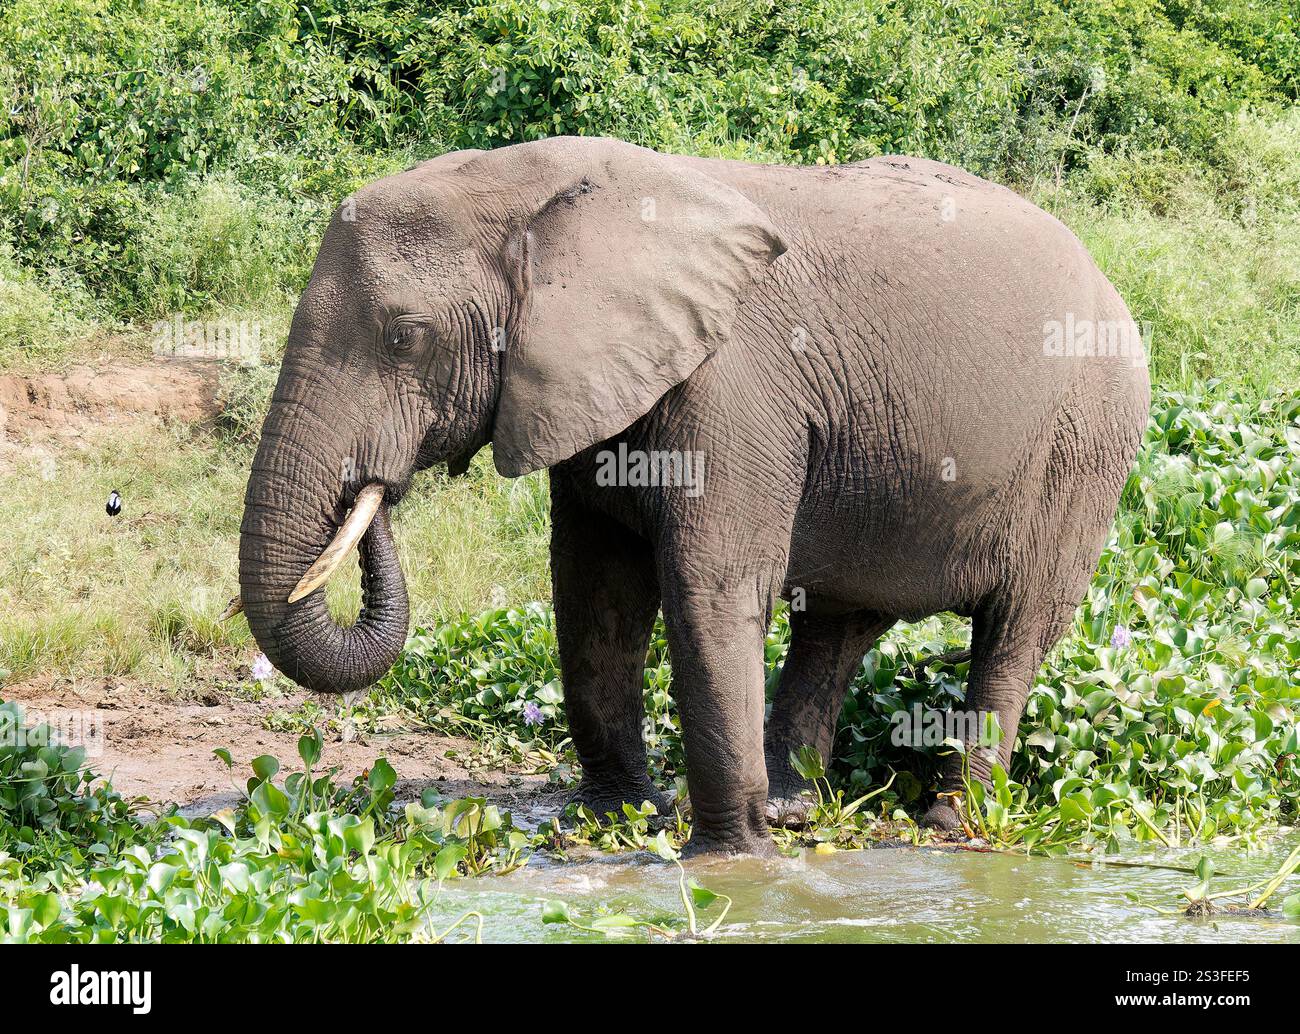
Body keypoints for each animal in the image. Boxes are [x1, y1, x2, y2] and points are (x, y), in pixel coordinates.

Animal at [236, 136, 1150, 856]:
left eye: (403, 337)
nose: (377, 491)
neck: (539, 187)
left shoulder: (733, 384)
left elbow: (710, 584)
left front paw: (730, 862)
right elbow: (595, 588)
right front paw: (615, 820)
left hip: (1083, 451)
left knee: (1014, 632)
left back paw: (950, 828)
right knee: (837, 626)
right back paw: (792, 810)